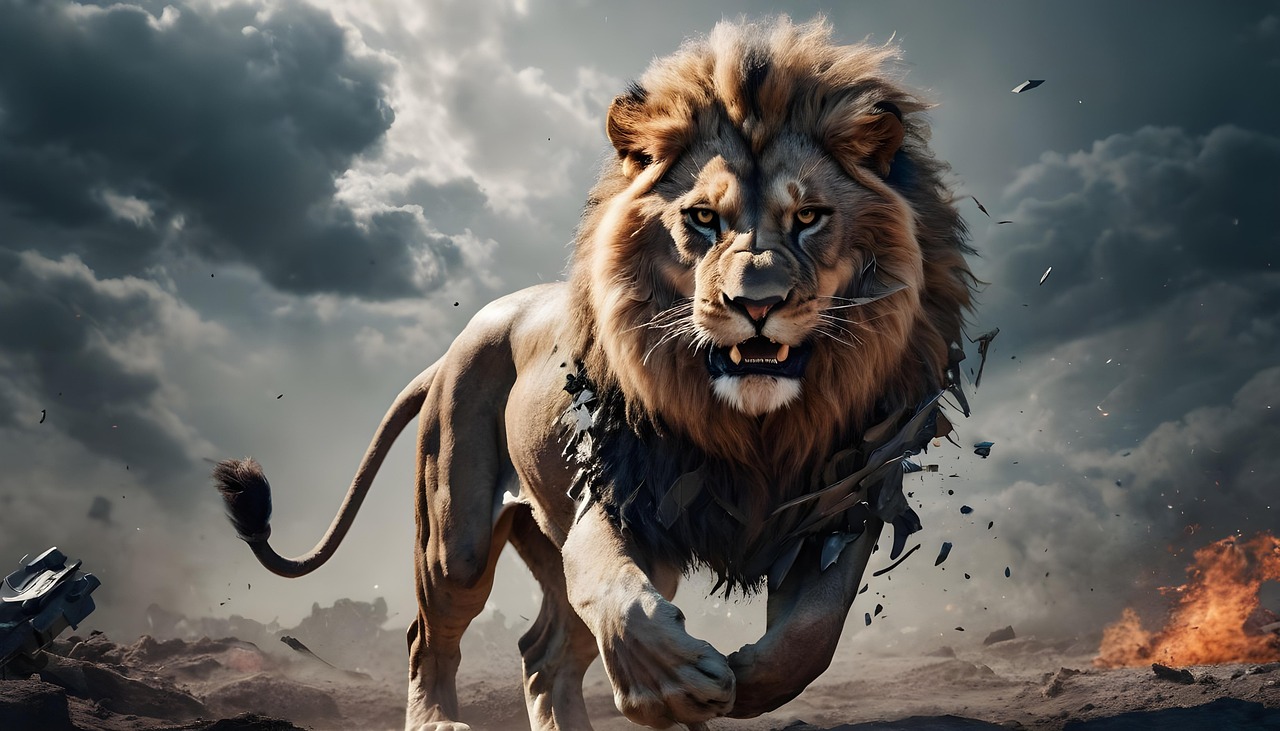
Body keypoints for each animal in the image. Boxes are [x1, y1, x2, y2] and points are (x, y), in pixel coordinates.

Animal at [212, 16, 978, 731]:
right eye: (703, 218)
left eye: (811, 217)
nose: (755, 304)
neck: (751, 428)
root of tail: (459, 341)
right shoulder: (614, 497)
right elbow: (618, 596)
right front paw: (674, 685)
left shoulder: (841, 504)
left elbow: (813, 634)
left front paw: (743, 677)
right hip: (456, 535)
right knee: (428, 635)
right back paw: (439, 718)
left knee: (542, 653)